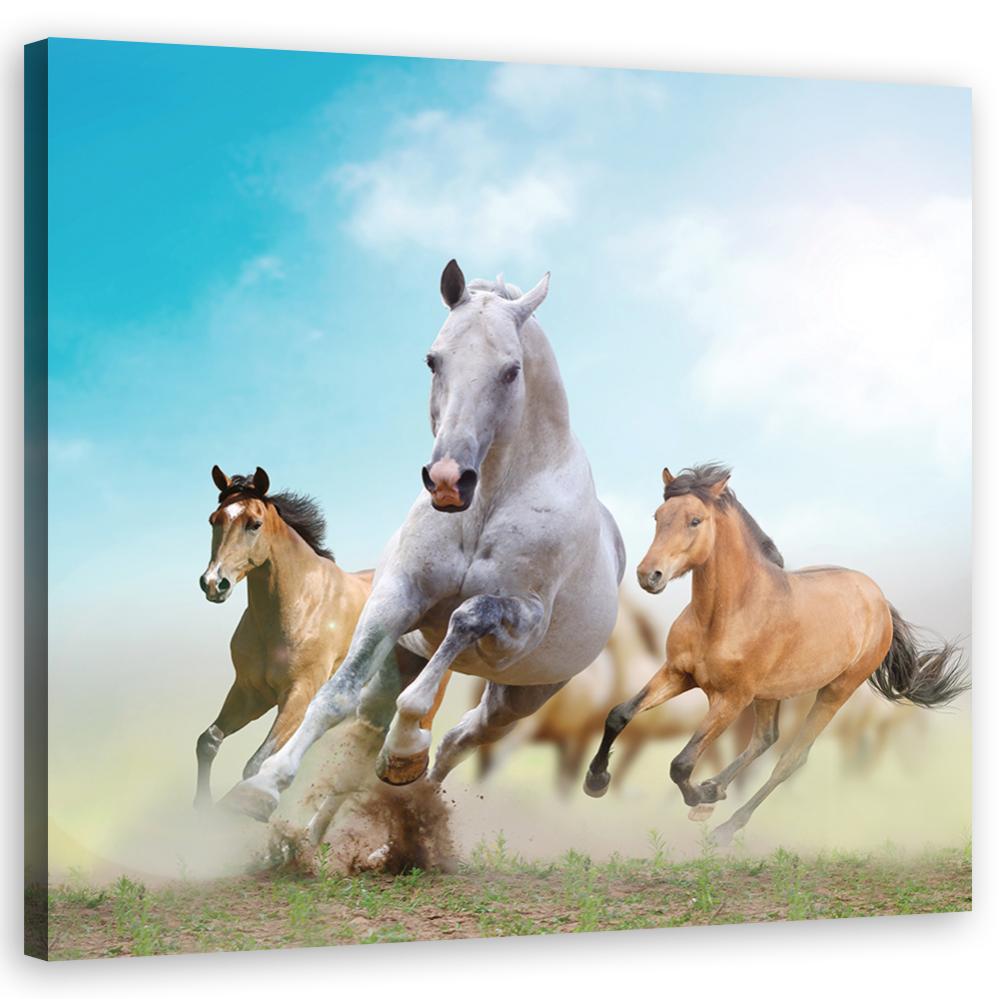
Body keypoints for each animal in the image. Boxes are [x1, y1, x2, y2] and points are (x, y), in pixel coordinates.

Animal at [195, 466, 449, 809]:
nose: (214, 583)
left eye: (254, 524)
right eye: (214, 520)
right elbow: (208, 741)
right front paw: (200, 808)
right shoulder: (250, 692)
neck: (299, 607)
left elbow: (256, 763)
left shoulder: (299, 695)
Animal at [221, 260, 625, 823]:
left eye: (512, 370)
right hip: (403, 661)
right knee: (368, 737)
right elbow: (335, 696)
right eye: (434, 361)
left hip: (518, 698)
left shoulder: (517, 627)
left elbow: (466, 619)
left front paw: (406, 748)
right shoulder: (397, 597)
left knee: (461, 738)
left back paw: (411, 788)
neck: (487, 504)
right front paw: (263, 786)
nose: (449, 481)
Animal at [584, 463, 968, 845]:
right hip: (771, 693)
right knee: (765, 739)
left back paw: (725, 826)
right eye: (658, 516)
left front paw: (700, 795)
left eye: (695, 520)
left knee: (791, 758)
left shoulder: (731, 698)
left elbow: (681, 762)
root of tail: (879, 598)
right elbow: (619, 714)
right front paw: (596, 781)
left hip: (835, 691)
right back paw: (715, 791)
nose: (649, 575)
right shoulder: (678, 674)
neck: (725, 614)